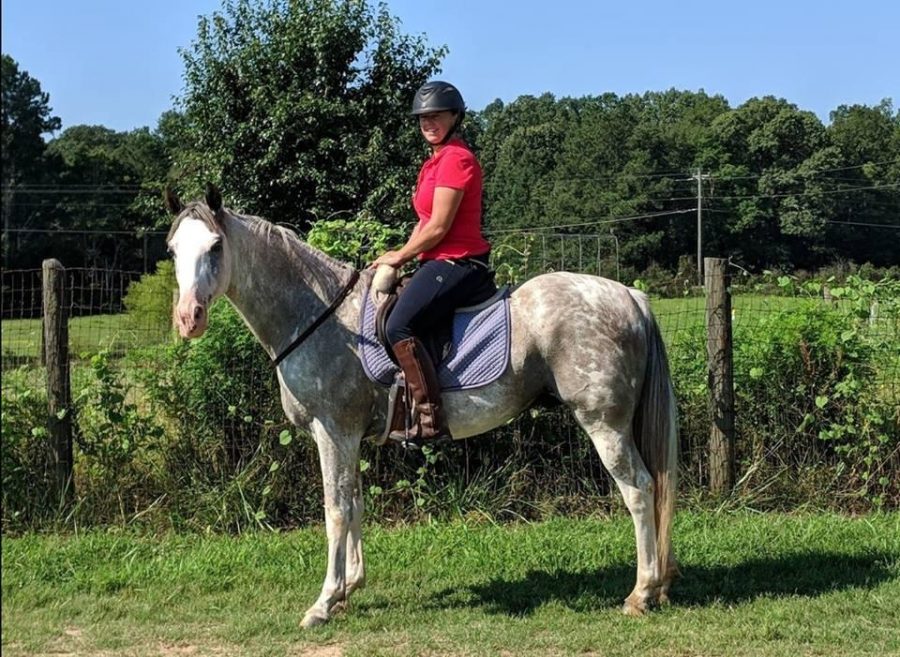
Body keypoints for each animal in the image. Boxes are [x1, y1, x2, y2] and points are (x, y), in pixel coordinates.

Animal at [165, 185, 679, 628]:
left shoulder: (334, 430)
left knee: (638, 490)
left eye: (215, 246)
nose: (188, 318)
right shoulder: (346, 437)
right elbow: (355, 503)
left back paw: (641, 592)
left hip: (604, 424)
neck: (322, 317)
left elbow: (335, 509)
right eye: (172, 250)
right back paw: (657, 586)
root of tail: (630, 295)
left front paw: (324, 602)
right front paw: (350, 588)